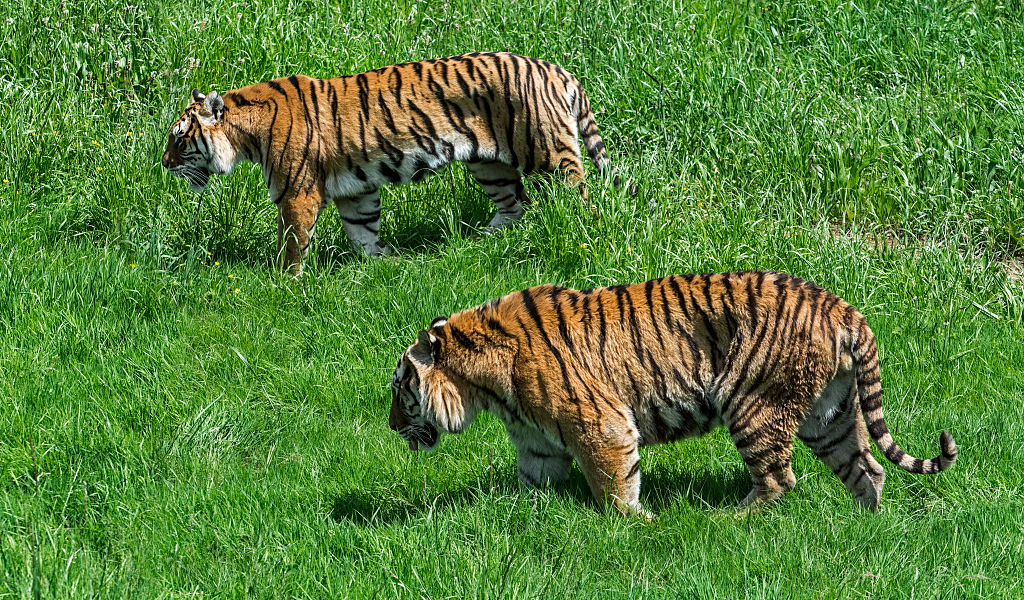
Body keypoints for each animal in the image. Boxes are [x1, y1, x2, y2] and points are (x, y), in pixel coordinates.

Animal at [160, 52, 625, 274]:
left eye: (179, 138)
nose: (164, 164)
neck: (245, 134)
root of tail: (558, 70)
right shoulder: (357, 192)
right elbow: (363, 232)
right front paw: (383, 263)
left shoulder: (297, 193)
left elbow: (291, 244)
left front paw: (284, 283)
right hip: (489, 165)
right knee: (515, 206)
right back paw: (479, 242)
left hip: (548, 154)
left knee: (582, 200)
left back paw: (581, 231)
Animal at [389, 271, 957, 517]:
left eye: (400, 389)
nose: (393, 426)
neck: (483, 383)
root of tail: (838, 305)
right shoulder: (539, 444)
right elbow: (532, 485)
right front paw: (523, 516)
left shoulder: (602, 425)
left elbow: (616, 486)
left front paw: (637, 524)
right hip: (829, 413)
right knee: (868, 466)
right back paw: (867, 524)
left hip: (754, 403)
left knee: (779, 477)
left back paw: (727, 520)